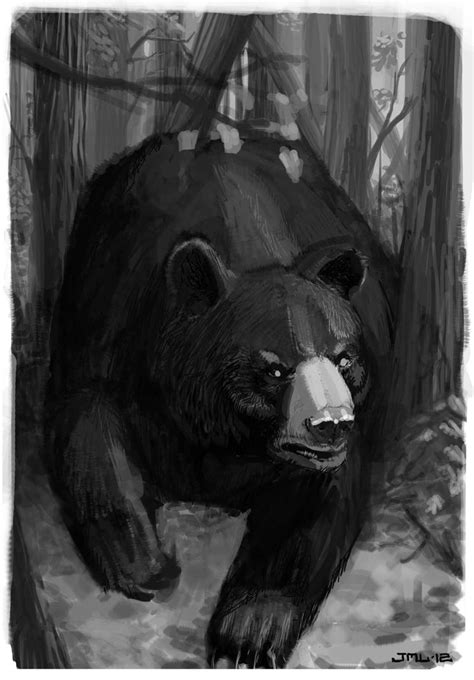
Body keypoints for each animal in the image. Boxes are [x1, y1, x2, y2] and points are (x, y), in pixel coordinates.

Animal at [45, 132, 394, 668]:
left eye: (345, 358)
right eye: (274, 368)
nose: (330, 423)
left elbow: (319, 497)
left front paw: (248, 631)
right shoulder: (108, 310)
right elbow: (87, 420)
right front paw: (144, 562)